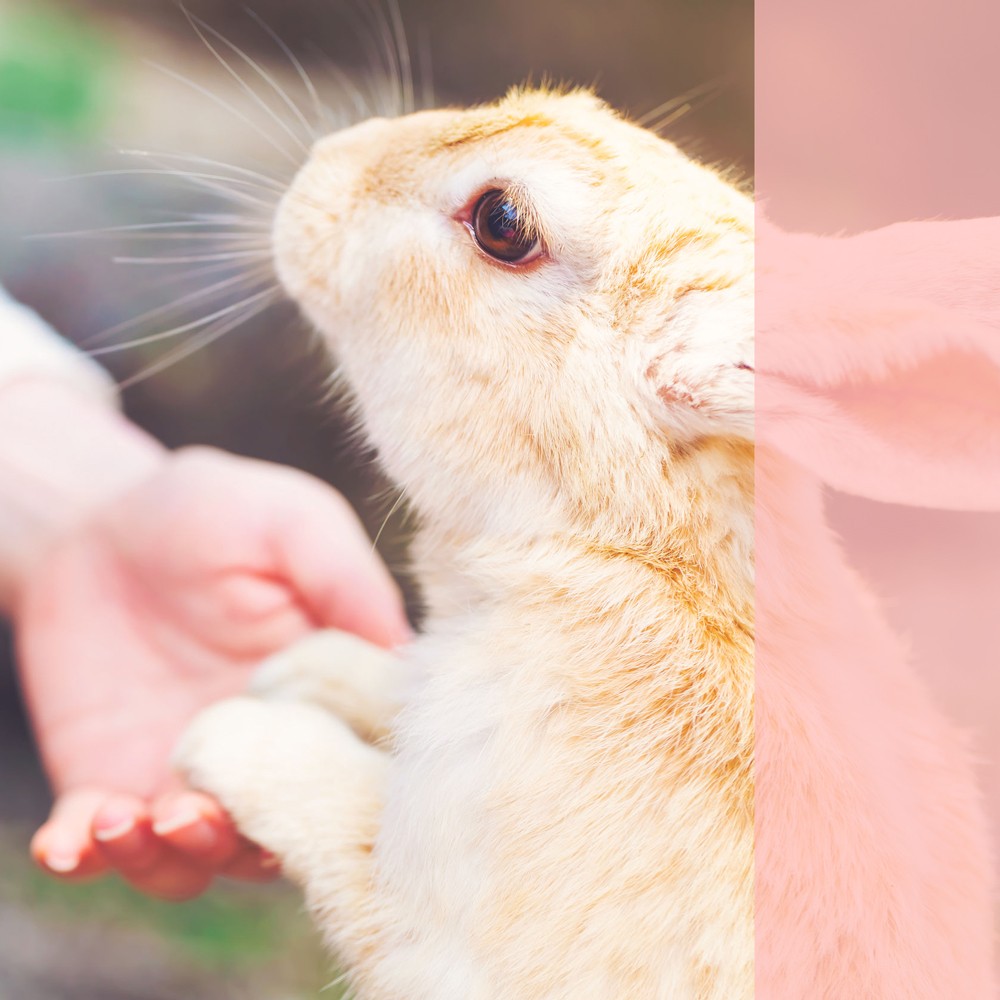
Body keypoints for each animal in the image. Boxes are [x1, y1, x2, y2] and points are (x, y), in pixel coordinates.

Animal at [175, 86, 999, 998]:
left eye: (502, 221)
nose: (326, 166)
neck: (637, 559)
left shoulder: (440, 942)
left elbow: (342, 824)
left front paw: (236, 734)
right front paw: (311, 671)